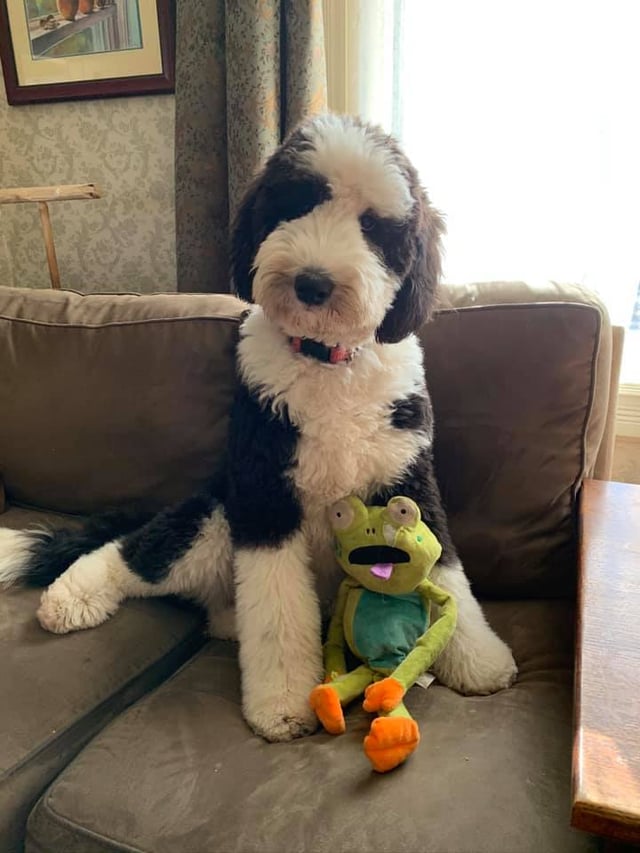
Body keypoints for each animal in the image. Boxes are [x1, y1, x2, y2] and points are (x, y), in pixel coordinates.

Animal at [0, 113, 516, 740]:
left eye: (372, 226)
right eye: (296, 202)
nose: (313, 283)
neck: (326, 362)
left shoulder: (407, 474)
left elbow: (445, 570)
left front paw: (478, 659)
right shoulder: (265, 493)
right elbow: (276, 605)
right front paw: (284, 704)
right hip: (218, 518)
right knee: (134, 550)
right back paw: (71, 597)